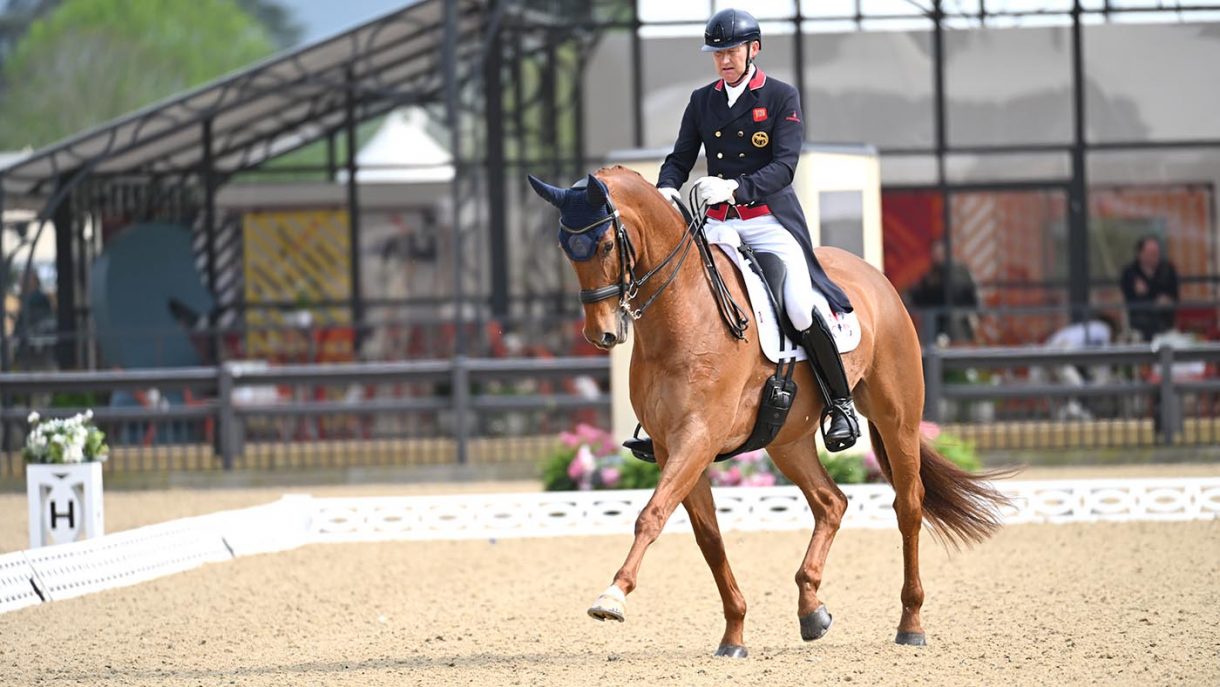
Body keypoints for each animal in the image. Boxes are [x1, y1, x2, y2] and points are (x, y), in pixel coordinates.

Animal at [527, 165, 1010, 658]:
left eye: (606, 245)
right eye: (567, 249)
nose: (602, 334)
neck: (682, 313)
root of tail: (874, 277)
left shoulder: (698, 437)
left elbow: (652, 514)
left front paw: (613, 596)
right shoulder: (670, 446)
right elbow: (708, 537)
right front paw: (734, 634)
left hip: (898, 419)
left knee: (908, 505)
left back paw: (910, 622)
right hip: (787, 440)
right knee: (831, 502)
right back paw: (811, 610)